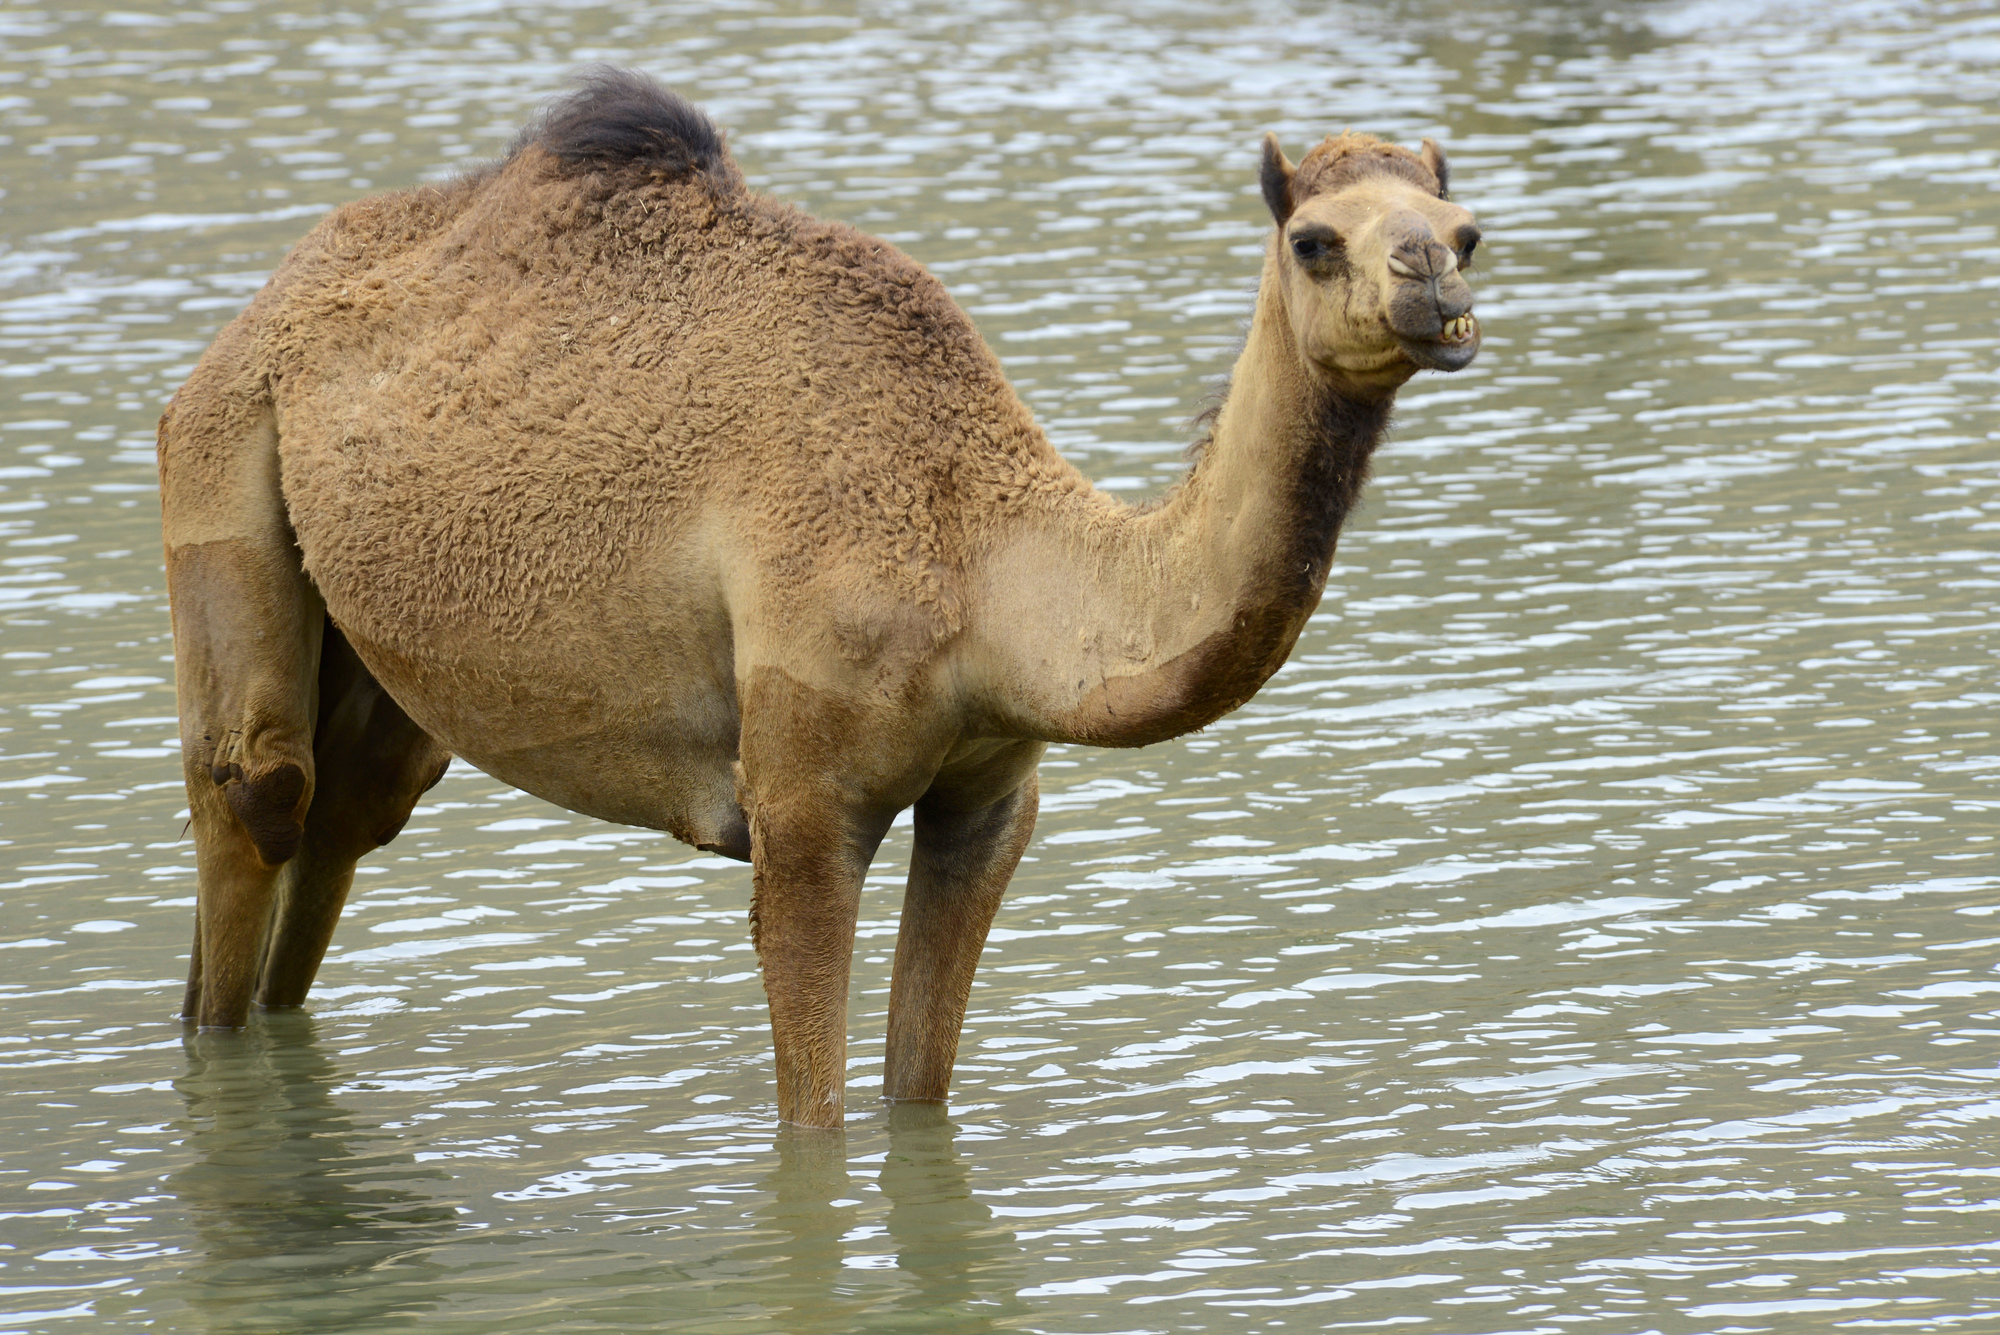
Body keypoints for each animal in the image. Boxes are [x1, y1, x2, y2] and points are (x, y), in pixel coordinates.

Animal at [158, 69, 1482, 1128]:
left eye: (1466, 232)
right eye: (1312, 239)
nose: (1430, 287)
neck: (980, 557)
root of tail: (261, 304)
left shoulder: (988, 797)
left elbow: (918, 1089)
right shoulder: (800, 802)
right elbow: (817, 1121)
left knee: (354, 804)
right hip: (220, 459)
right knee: (259, 784)